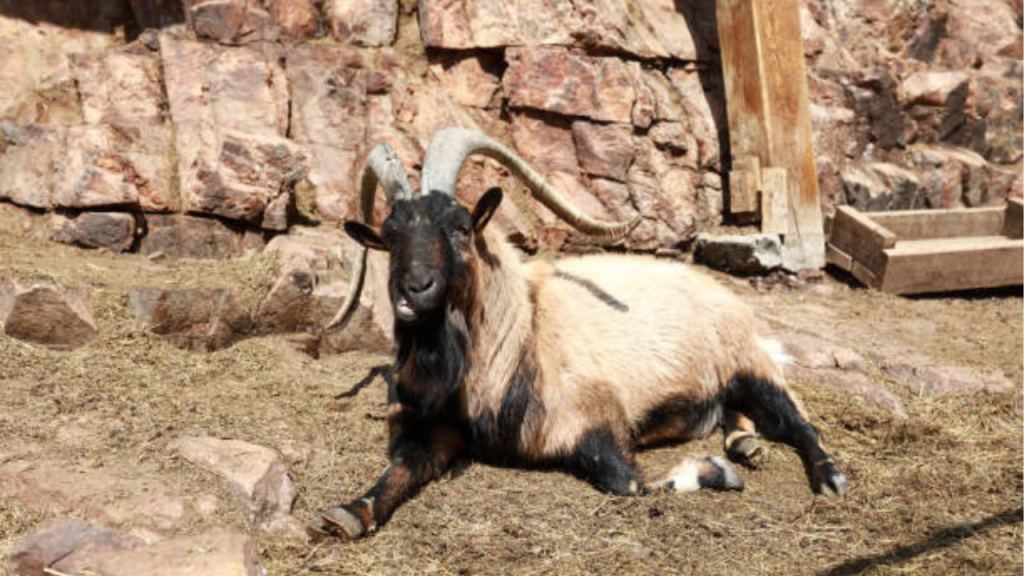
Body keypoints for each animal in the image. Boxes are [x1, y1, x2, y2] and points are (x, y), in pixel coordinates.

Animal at [308, 128, 847, 540]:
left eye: (461, 227)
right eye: (389, 236)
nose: (413, 290)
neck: (519, 334)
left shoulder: (599, 417)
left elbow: (630, 484)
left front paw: (718, 470)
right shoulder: (436, 429)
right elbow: (398, 468)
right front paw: (346, 513)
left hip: (750, 363)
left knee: (800, 422)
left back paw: (827, 477)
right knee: (739, 411)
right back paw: (745, 443)